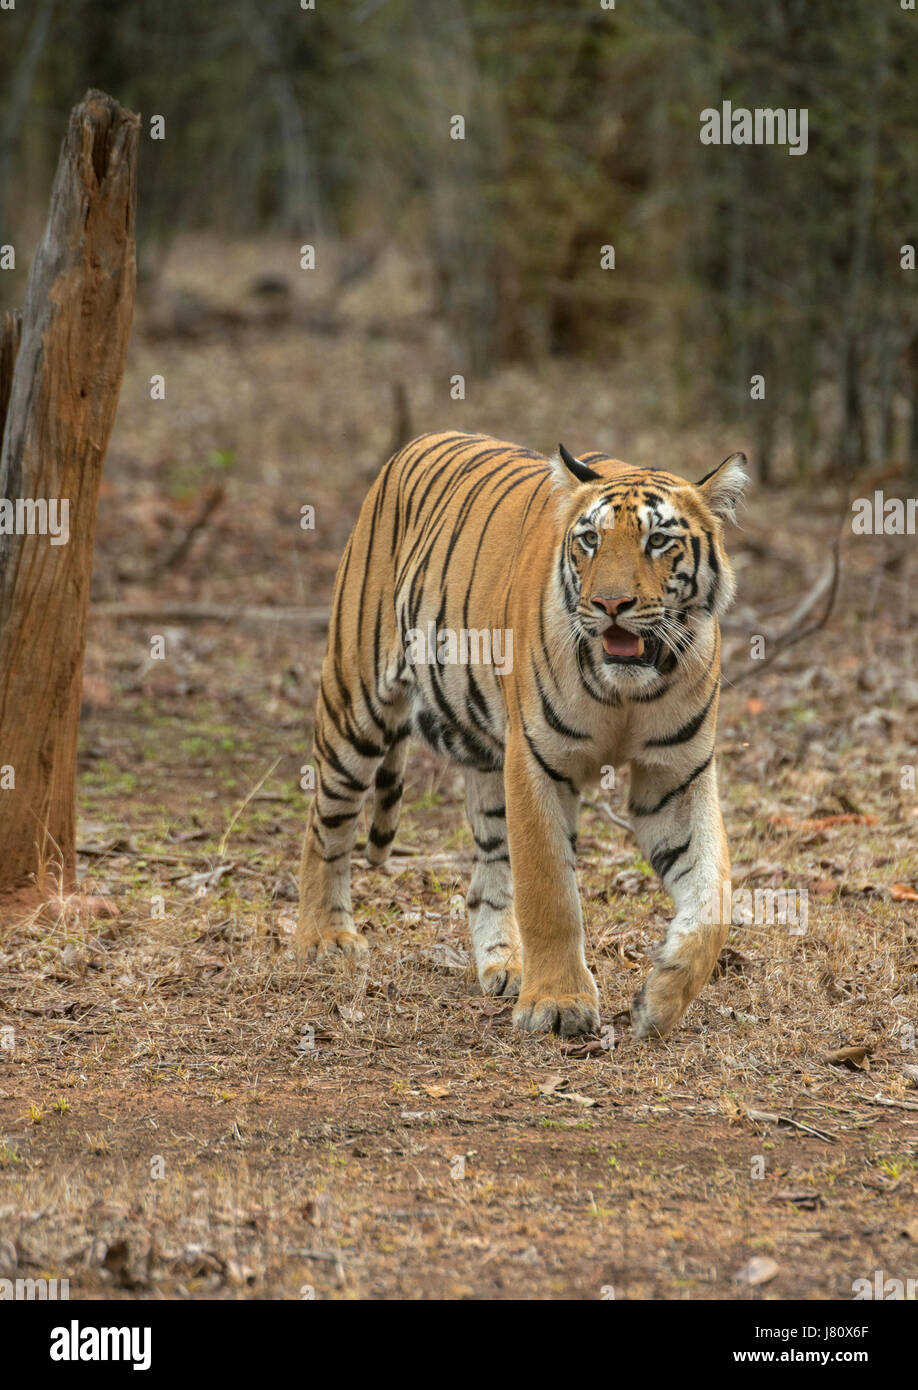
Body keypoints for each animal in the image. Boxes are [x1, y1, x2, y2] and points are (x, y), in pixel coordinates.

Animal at [297, 431, 747, 1040]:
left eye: (657, 541)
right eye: (589, 540)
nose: (610, 605)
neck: (627, 693)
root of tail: (413, 443)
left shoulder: (674, 778)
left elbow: (713, 897)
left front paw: (661, 998)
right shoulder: (537, 761)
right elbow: (549, 890)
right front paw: (557, 1003)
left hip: (486, 754)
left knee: (486, 878)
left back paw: (504, 965)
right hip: (356, 706)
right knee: (325, 826)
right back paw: (325, 939)